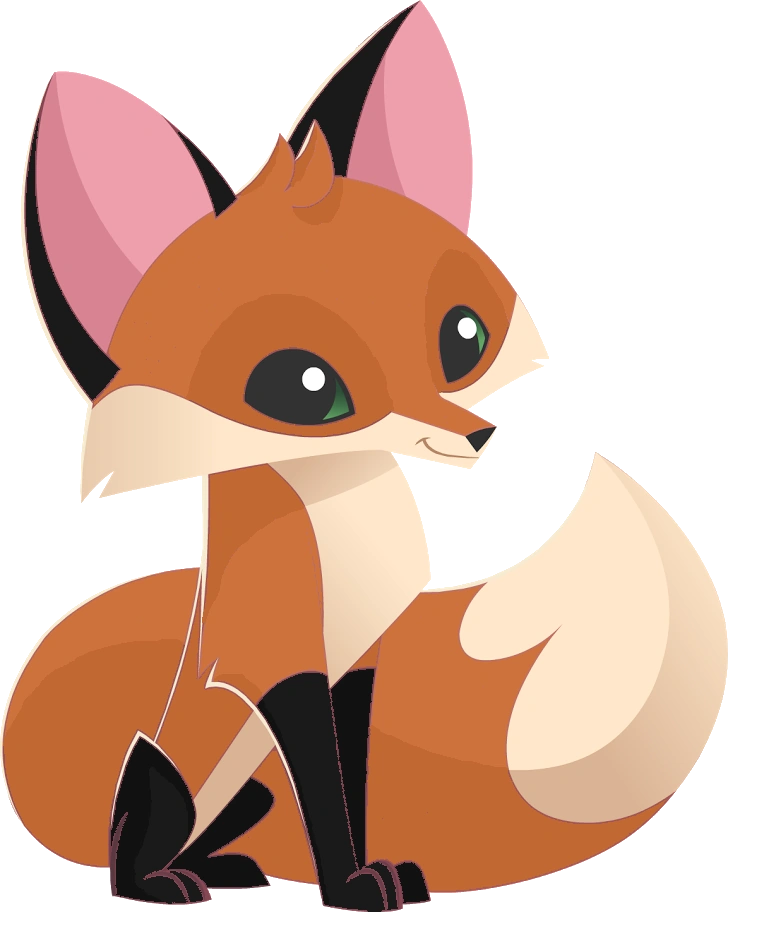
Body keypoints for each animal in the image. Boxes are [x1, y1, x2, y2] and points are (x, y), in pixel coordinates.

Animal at [4, 2, 727, 911]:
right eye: (307, 387)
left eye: (463, 336)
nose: (478, 435)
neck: (346, 531)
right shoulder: (286, 669)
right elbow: (324, 790)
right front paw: (352, 886)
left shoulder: (362, 662)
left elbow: (353, 782)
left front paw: (366, 869)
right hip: (166, 779)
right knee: (127, 852)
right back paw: (165, 880)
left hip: (248, 792)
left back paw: (226, 868)